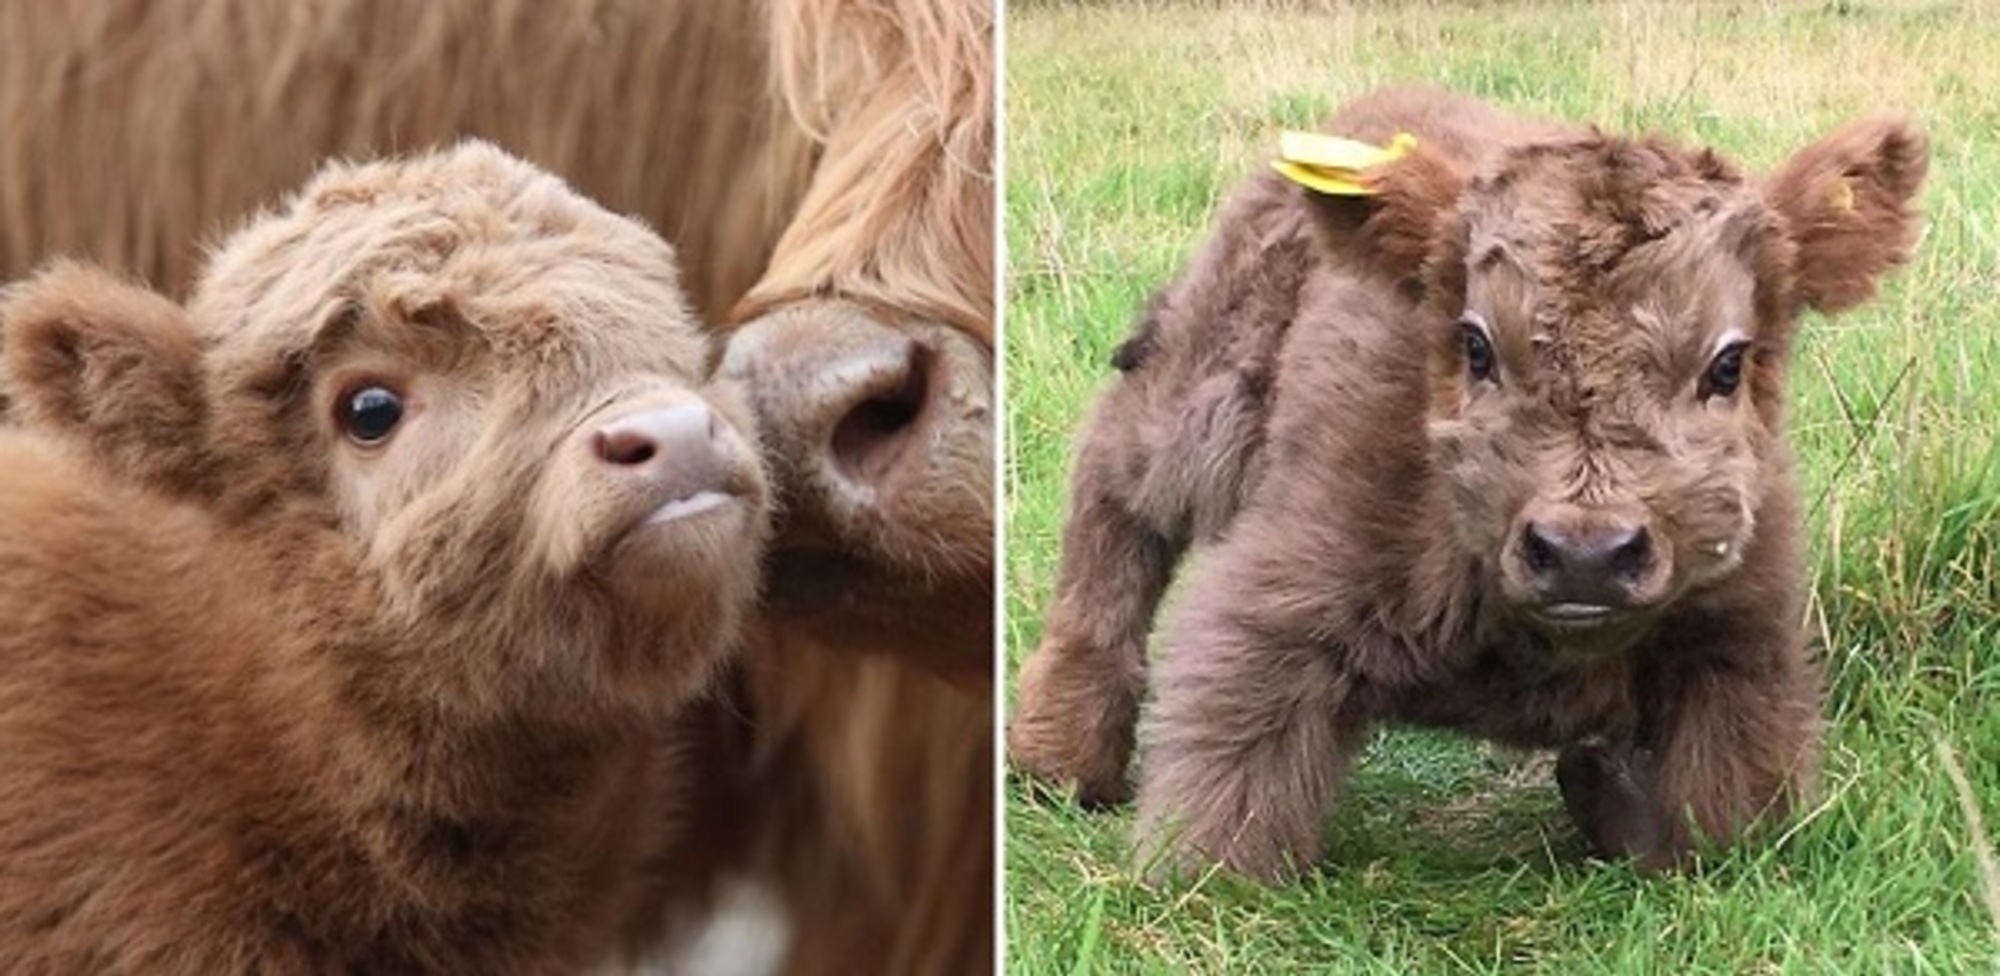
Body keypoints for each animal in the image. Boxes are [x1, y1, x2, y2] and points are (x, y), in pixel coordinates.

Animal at [1008, 87, 1927, 879]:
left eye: (1727, 365)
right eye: (1478, 346)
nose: (1586, 554)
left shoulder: (1740, 648)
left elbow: (1721, 821)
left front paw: (1614, 800)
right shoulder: (1272, 607)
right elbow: (1226, 786)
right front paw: (1193, 877)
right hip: (1201, 390)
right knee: (1112, 490)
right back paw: (1060, 756)